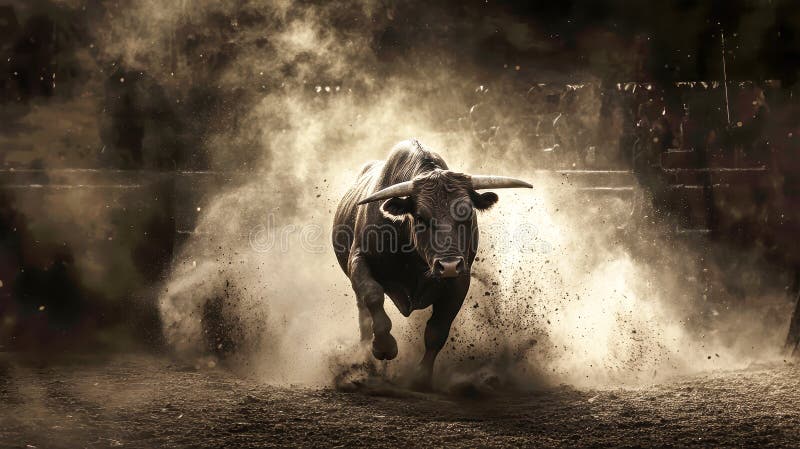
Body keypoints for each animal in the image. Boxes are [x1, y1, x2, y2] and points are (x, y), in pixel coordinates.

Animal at [331, 139, 532, 389]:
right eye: (420, 218)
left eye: (467, 214)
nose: (448, 265)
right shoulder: (359, 260)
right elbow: (373, 296)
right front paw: (384, 347)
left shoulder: (460, 281)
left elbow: (437, 330)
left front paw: (421, 377)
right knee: (363, 314)